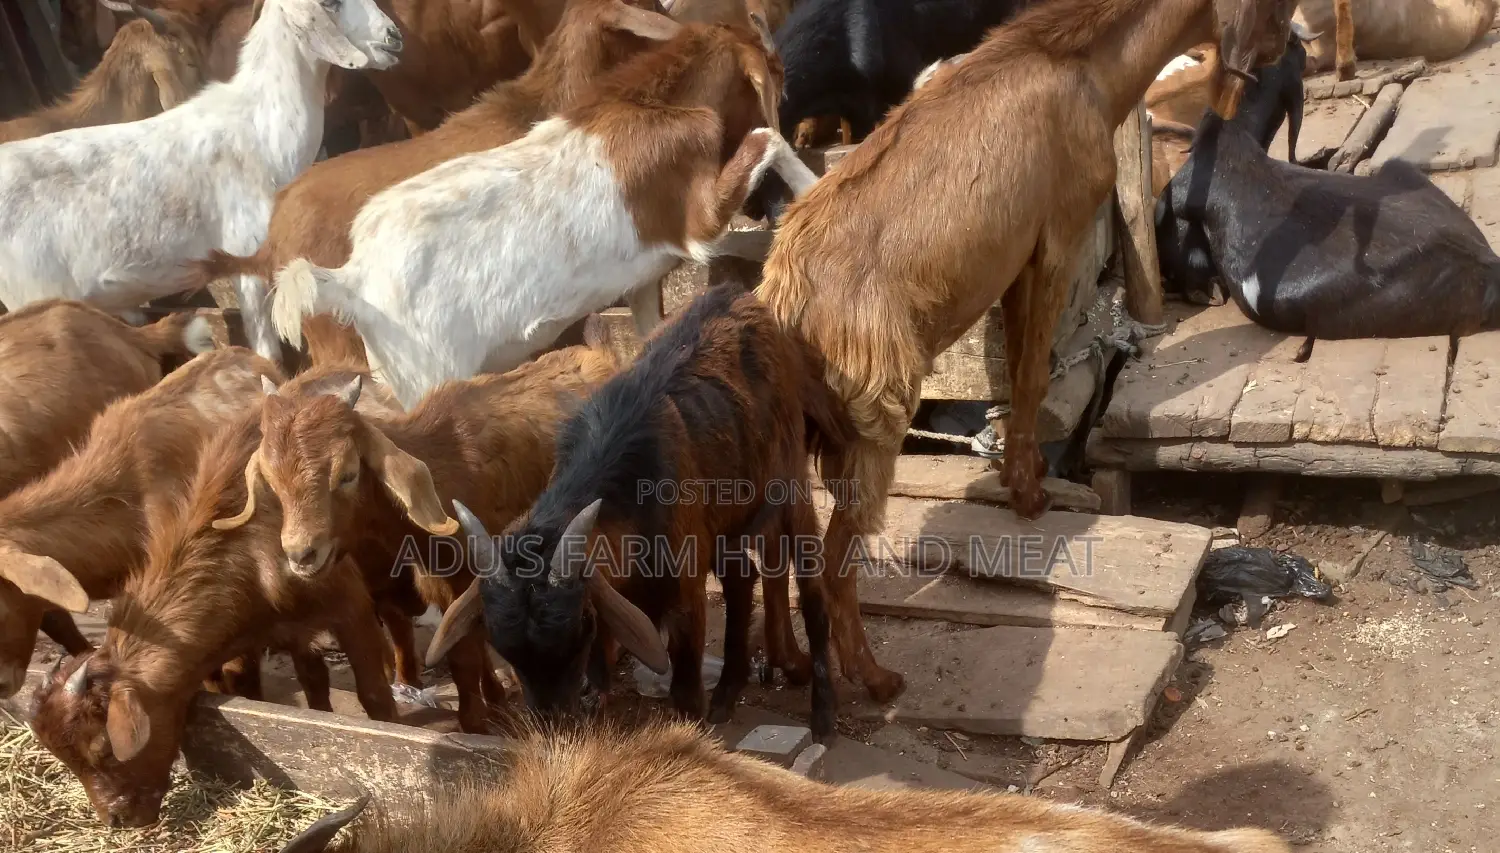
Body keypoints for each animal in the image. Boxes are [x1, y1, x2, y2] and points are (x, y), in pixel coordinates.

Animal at [211, 317, 623, 733]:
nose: (302, 554)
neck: (443, 465)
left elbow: (464, 653)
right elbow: (463, 643)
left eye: (347, 473)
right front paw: (491, 700)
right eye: (271, 481)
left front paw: (475, 720)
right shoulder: (442, 581)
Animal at [270, 20, 818, 408]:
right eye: (772, 69)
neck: (648, 104)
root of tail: (353, 277)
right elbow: (766, 141)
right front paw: (810, 187)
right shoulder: (696, 219)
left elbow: (650, 326)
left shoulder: (643, 276)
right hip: (431, 372)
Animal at [424, 287, 845, 742]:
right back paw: (728, 692)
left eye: (581, 626)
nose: (552, 720)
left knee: (812, 589)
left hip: (791, 483)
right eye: (503, 645)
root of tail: (736, 294)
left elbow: (684, 689)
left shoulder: (684, 590)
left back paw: (823, 713)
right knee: (740, 577)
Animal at [754, 0, 1295, 703]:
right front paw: (1031, 497)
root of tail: (786, 293)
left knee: (775, 549)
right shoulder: (1059, 238)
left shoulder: (1014, 262)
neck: (1080, 63)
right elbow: (1036, 374)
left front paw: (1019, 474)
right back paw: (872, 677)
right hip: (873, 417)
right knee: (833, 558)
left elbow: (1015, 376)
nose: (1286, 43)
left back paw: (789, 663)